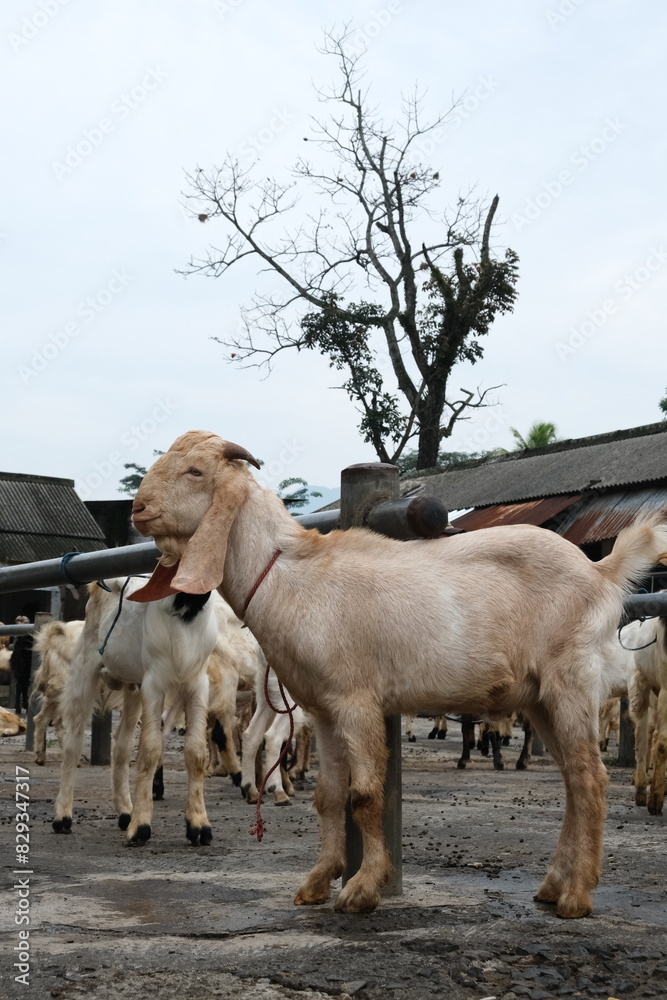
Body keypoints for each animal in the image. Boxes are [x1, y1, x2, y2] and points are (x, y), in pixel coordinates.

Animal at [128, 431, 667, 918]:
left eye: (195, 472)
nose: (138, 508)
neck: (294, 578)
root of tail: (600, 571)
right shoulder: (324, 709)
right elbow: (329, 797)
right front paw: (317, 881)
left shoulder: (357, 700)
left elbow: (365, 797)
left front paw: (363, 889)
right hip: (538, 698)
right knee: (574, 781)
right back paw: (554, 886)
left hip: (570, 681)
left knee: (590, 778)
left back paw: (577, 897)